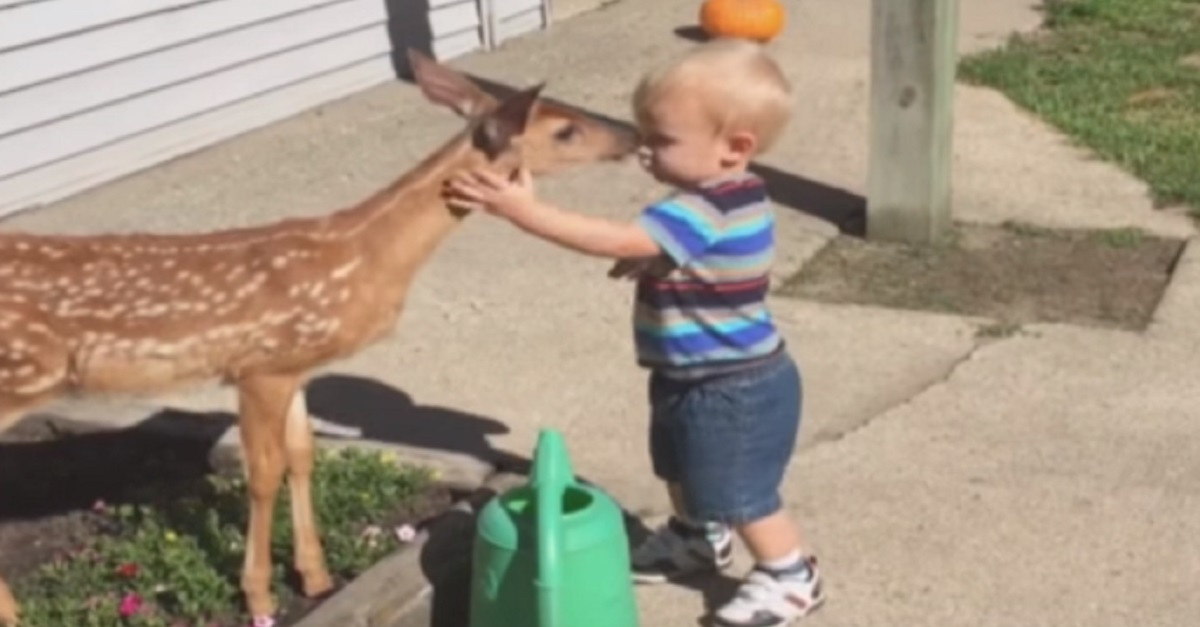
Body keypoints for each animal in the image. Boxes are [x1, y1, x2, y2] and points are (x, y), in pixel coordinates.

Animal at [0, 48, 637, 625]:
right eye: (565, 129)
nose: (632, 136)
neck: (362, 257)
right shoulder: (259, 366)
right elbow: (263, 474)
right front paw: (258, 596)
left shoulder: (295, 366)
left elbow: (303, 456)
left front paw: (315, 576)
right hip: (19, 377)